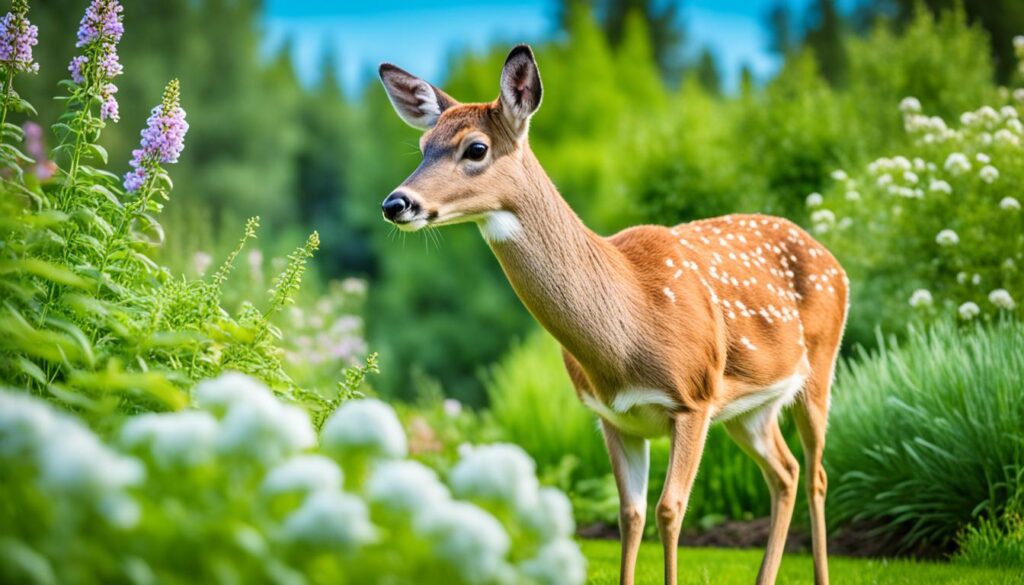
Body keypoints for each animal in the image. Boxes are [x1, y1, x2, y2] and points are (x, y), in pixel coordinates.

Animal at [377, 45, 847, 585]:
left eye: (475, 148)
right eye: (423, 145)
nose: (396, 203)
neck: (626, 331)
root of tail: (832, 259)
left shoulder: (694, 397)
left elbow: (670, 509)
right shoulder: (613, 415)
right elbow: (630, 514)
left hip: (820, 366)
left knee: (815, 473)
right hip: (752, 406)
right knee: (785, 472)